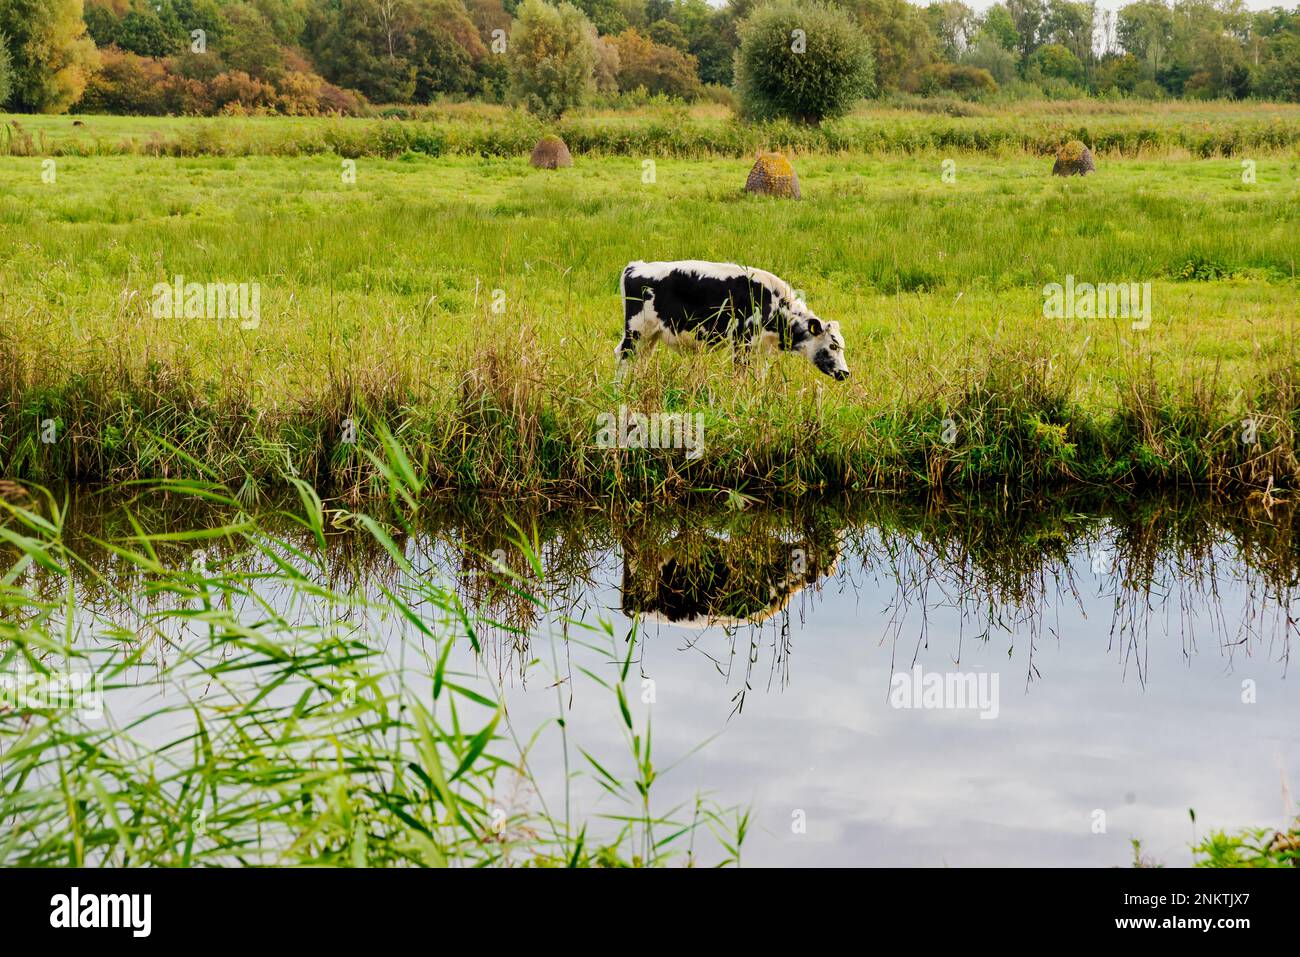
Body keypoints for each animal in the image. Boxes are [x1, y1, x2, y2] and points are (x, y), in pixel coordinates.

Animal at [615, 260, 850, 381]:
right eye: (832, 345)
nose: (845, 373)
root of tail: (636, 266)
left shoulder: (761, 348)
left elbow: (759, 375)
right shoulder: (742, 341)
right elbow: (741, 372)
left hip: (650, 336)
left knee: (640, 360)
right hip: (635, 330)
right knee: (624, 356)